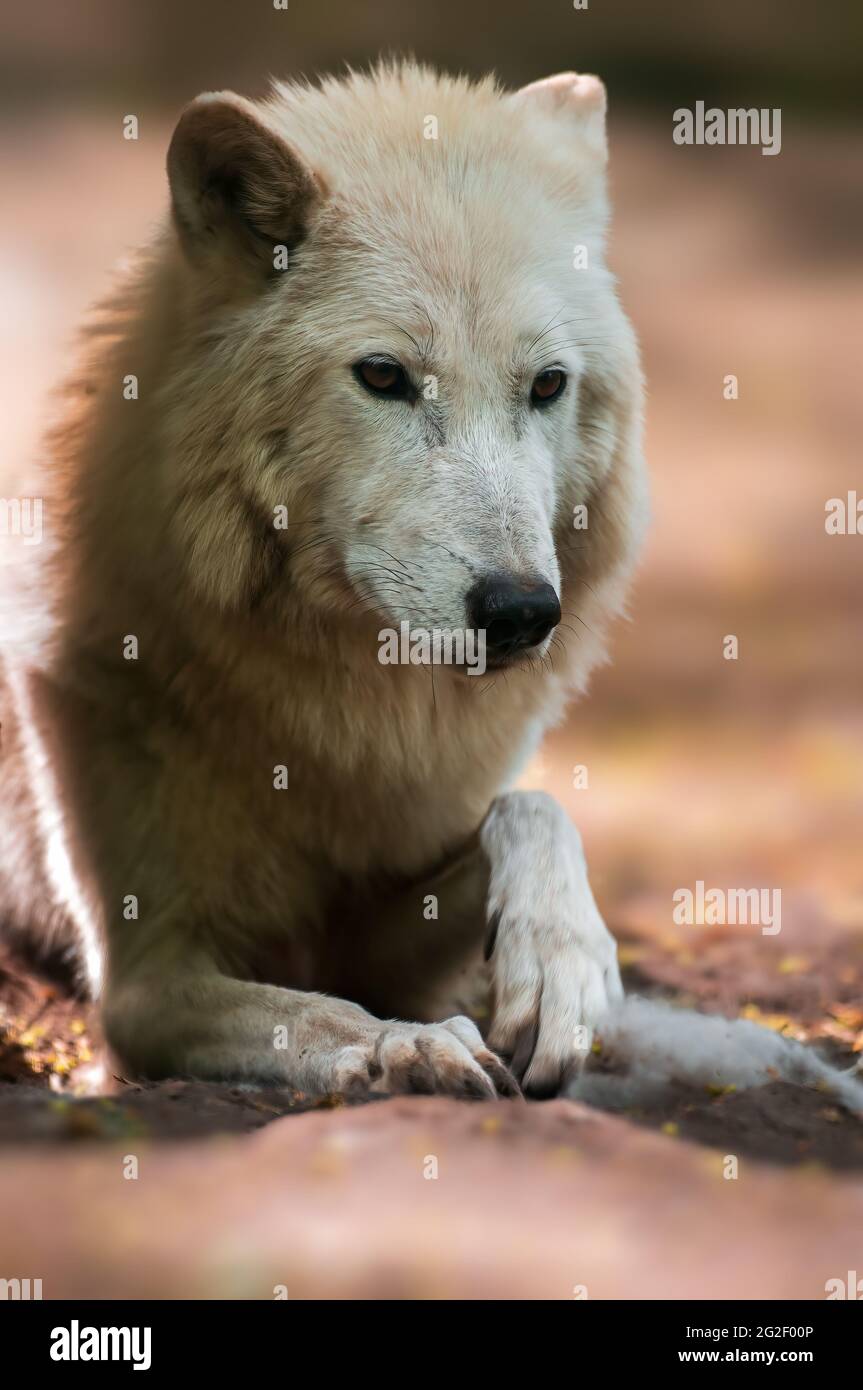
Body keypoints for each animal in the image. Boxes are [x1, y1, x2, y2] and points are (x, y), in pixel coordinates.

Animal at [0, 63, 647, 1100]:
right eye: (383, 376)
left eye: (546, 386)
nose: (520, 612)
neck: (335, 719)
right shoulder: (149, 982)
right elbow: (311, 1012)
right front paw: (406, 1048)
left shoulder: (374, 931)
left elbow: (535, 808)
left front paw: (561, 968)